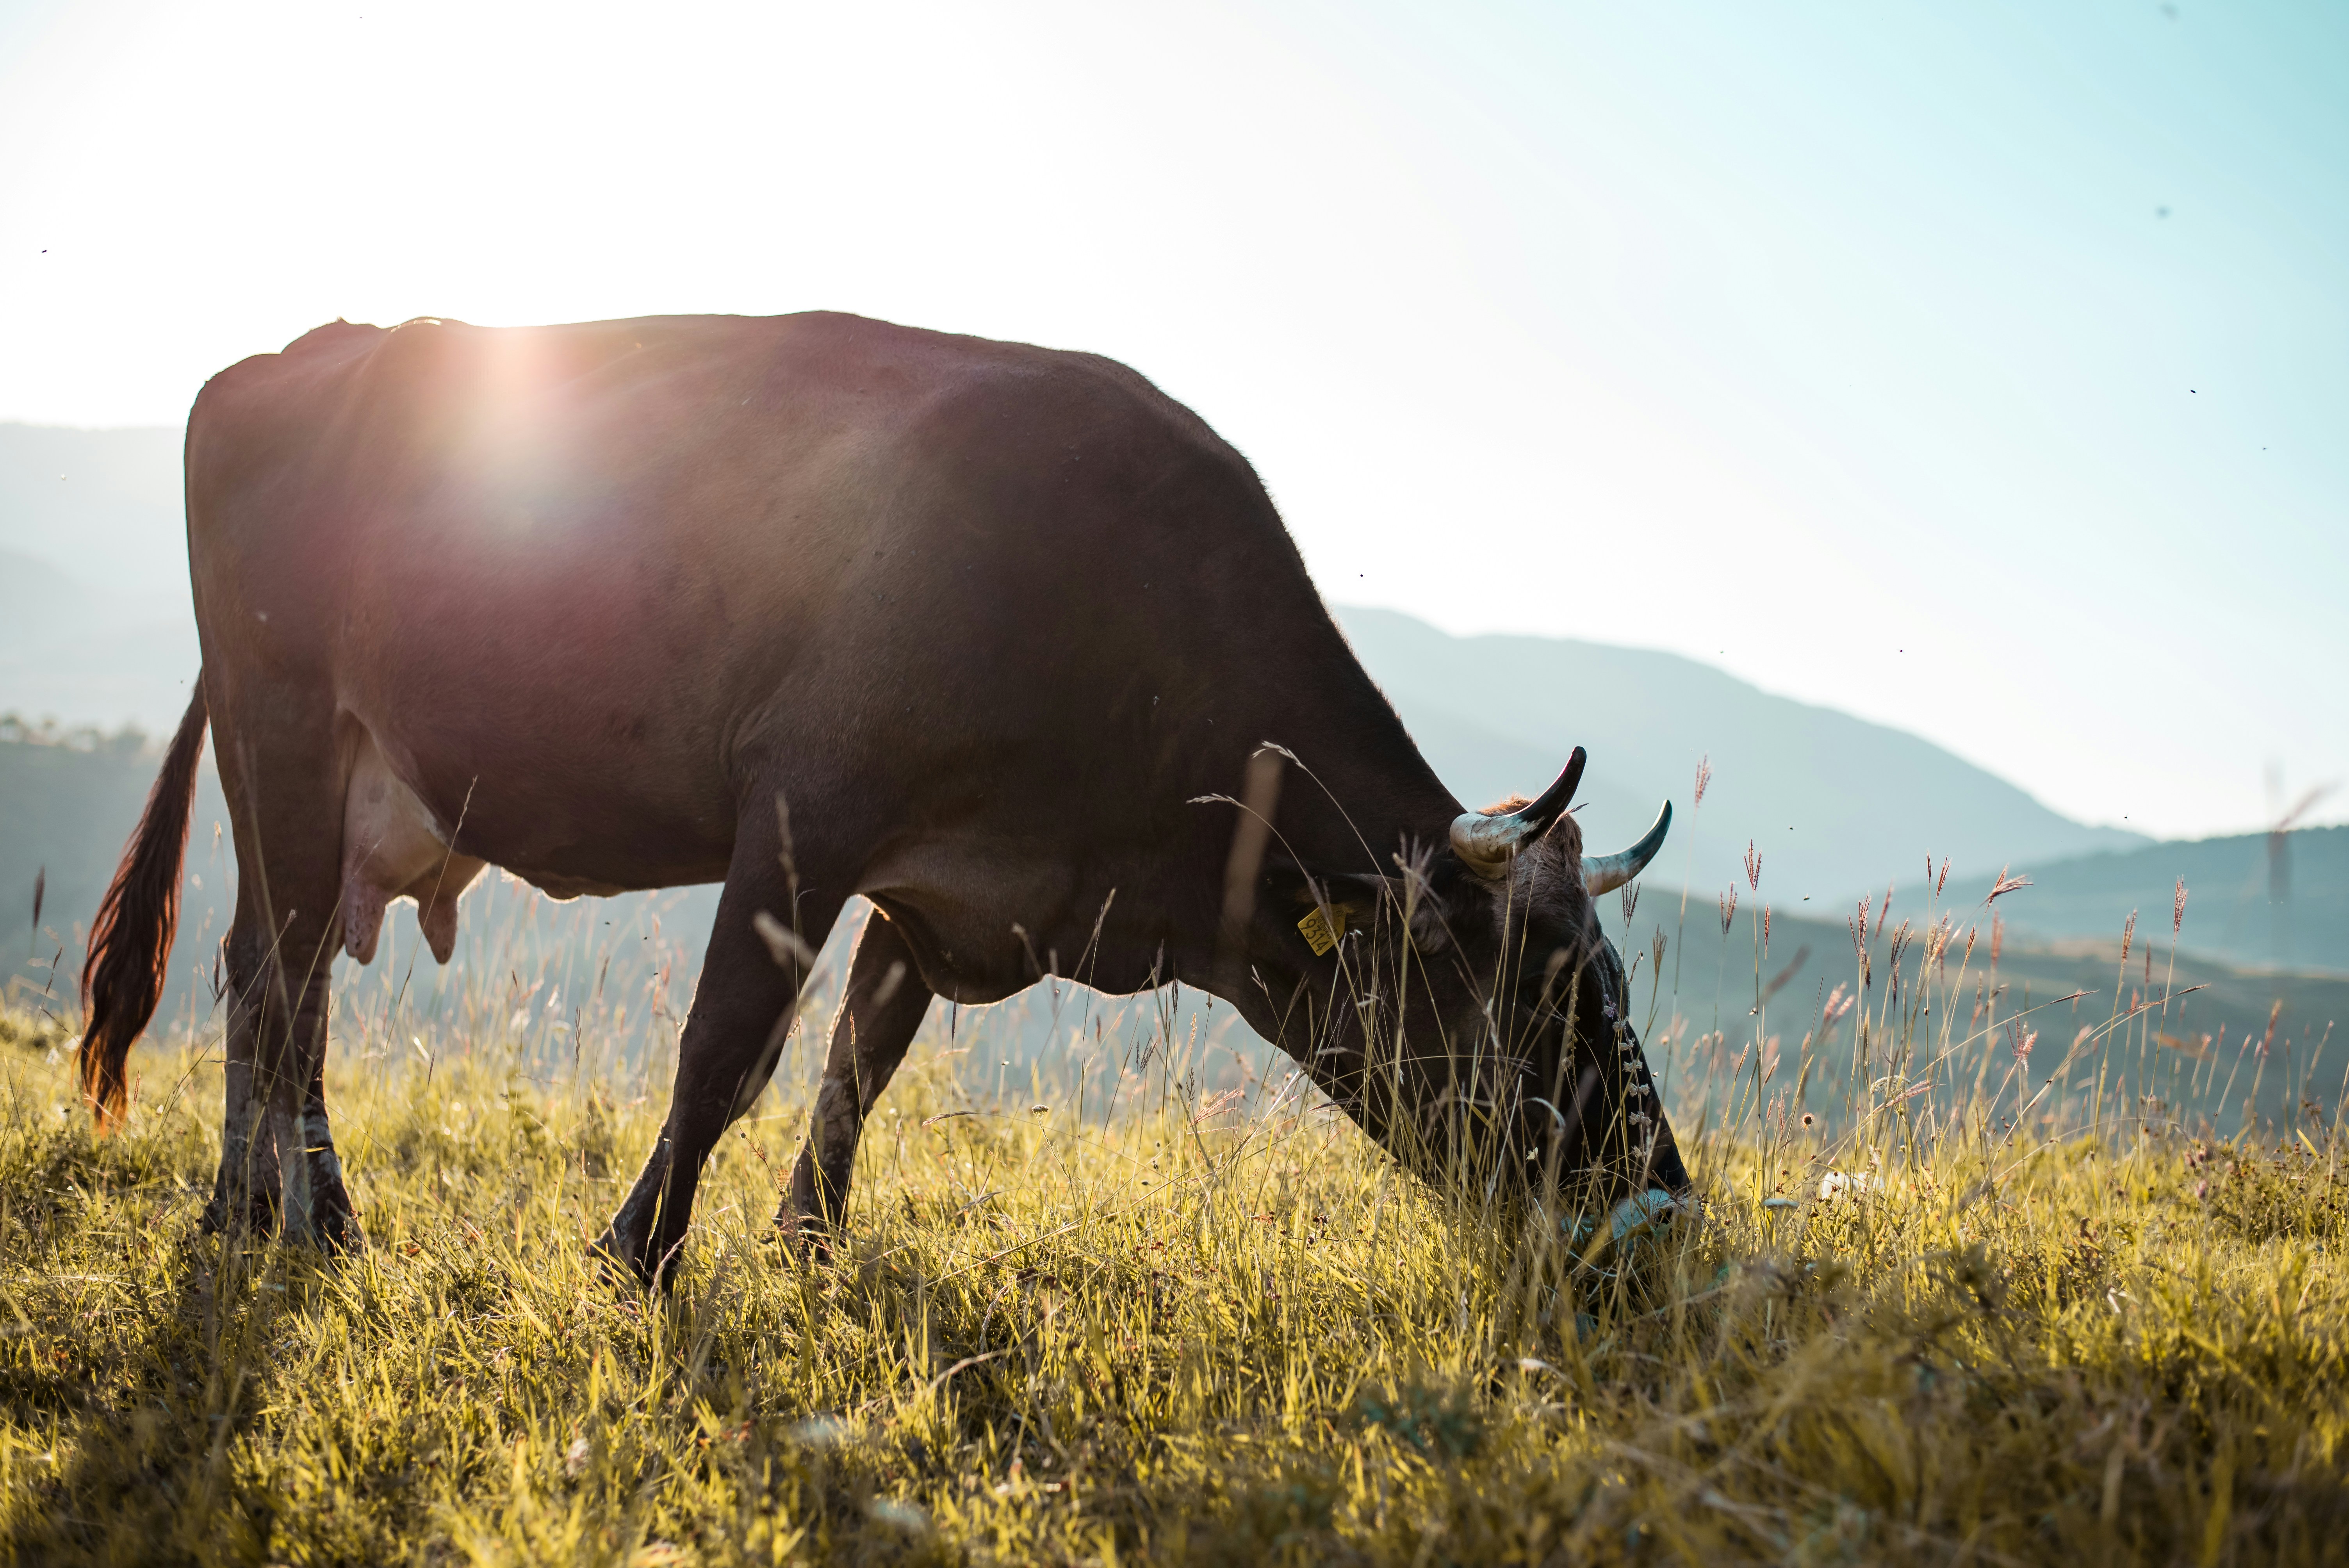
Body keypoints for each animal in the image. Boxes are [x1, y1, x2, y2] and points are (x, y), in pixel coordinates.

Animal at [78, 311, 1689, 1283]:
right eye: (1538, 997)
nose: (1663, 1218)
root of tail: (293, 356)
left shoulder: (942, 888)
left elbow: (861, 1061)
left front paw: (806, 1248)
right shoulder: (804, 809)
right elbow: (727, 1052)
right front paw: (637, 1258)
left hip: (308, 775)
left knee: (262, 973)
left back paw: (250, 1214)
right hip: (285, 730)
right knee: (285, 983)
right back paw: (313, 1224)